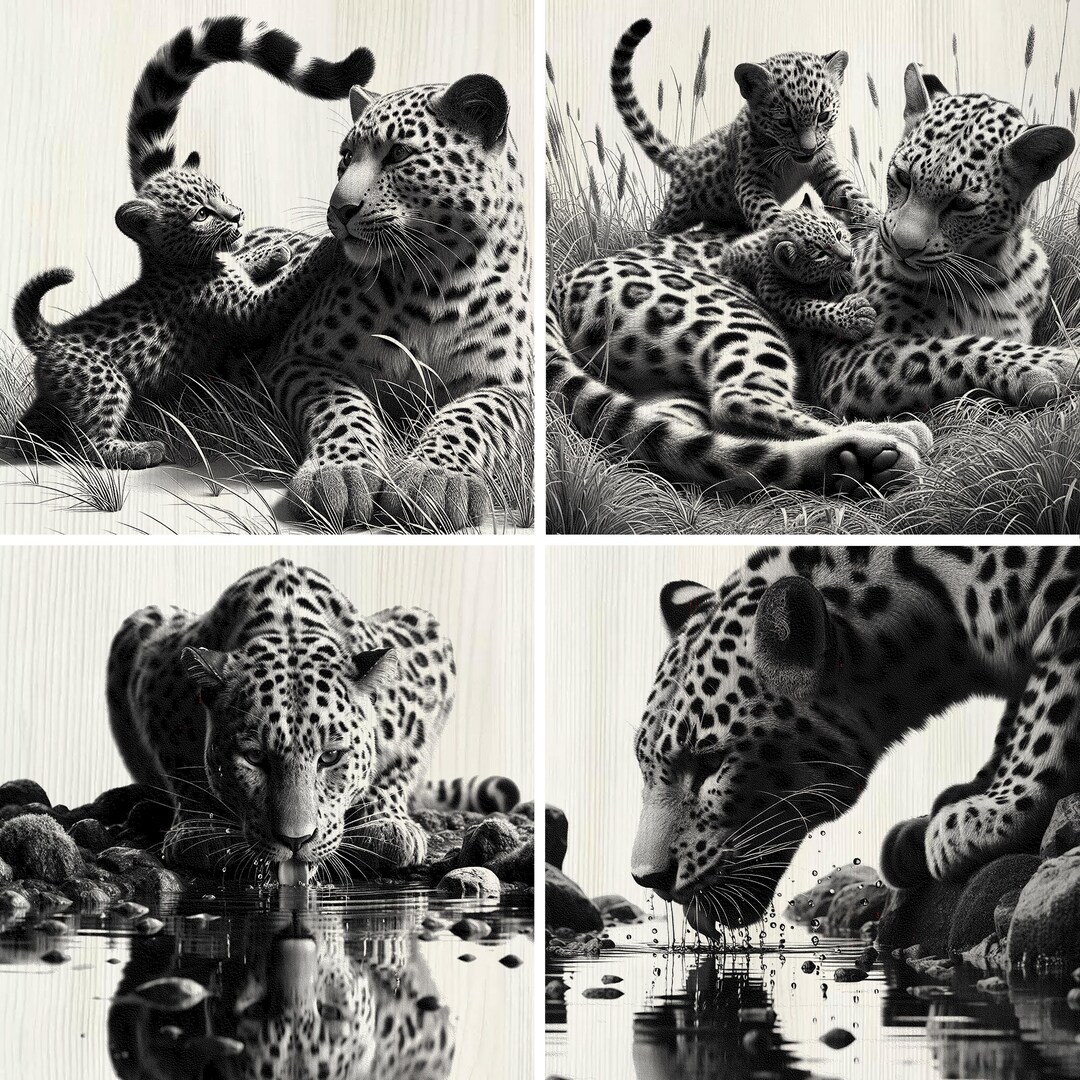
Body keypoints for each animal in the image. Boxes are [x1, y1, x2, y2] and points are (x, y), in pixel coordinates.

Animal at [11, 160, 339, 468]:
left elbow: (241, 259)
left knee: (31, 426)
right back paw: (143, 451)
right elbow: (288, 285)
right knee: (86, 445)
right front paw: (327, 248)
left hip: (58, 395)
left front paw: (272, 252)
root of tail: (52, 337)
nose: (237, 214)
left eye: (221, 195)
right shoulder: (249, 308)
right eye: (202, 214)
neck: (173, 263)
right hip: (102, 380)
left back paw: (21, 444)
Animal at [106, 558, 519, 884]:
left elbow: (404, 758)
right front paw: (200, 829)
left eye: (331, 757)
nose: (295, 841)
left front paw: (385, 825)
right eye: (254, 758)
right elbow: (181, 768)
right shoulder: (155, 663)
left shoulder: (427, 641)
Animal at [259, 74, 533, 532]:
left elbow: (469, 417)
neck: (433, 283)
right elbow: (342, 406)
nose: (339, 210)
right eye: (346, 157)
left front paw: (434, 478)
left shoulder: (512, 388)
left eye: (399, 154)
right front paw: (342, 474)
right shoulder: (298, 359)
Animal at [612, 19, 877, 235]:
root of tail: (684, 155)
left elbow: (851, 192)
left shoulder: (826, 168)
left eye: (823, 116)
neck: (792, 162)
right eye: (784, 122)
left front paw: (874, 218)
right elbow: (766, 211)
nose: (808, 150)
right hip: (679, 208)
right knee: (659, 226)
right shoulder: (750, 181)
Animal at [631, 545, 1080, 936]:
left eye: (710, 764)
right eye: (643, 767)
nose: (647, 878)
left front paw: (991, 813)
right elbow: (1018, 714)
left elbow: (1050, 702)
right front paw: (958, 802)